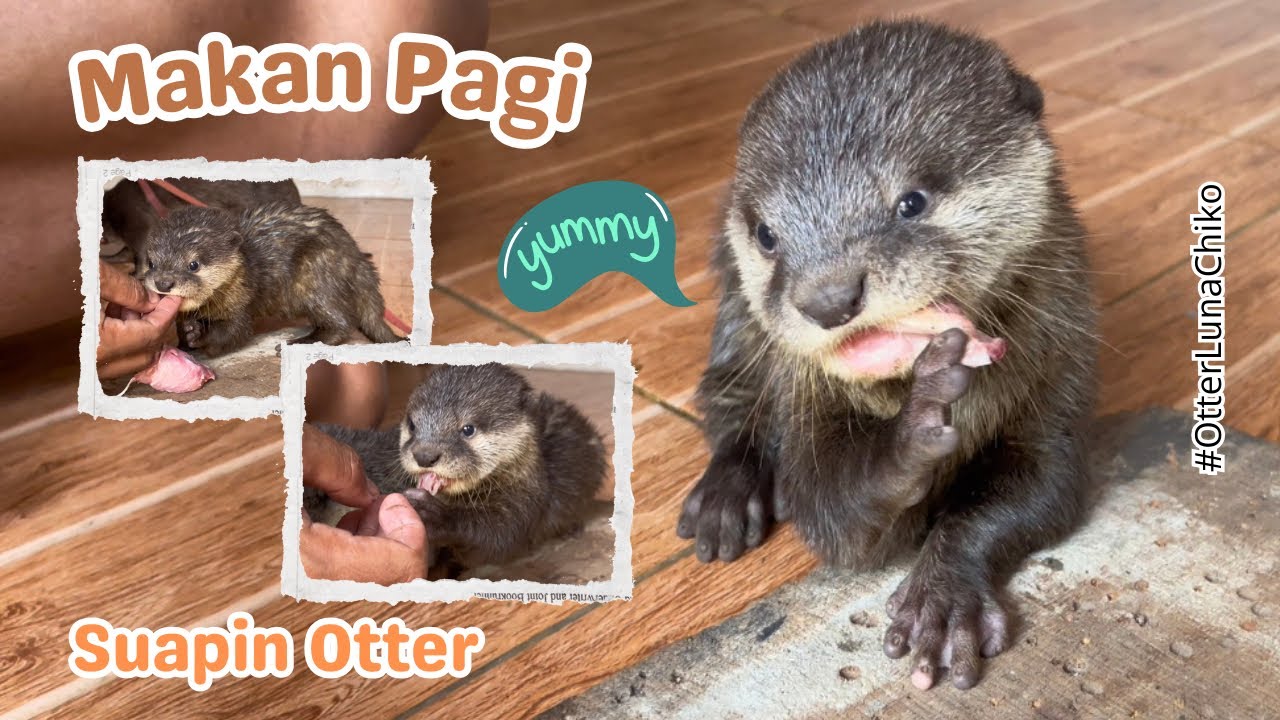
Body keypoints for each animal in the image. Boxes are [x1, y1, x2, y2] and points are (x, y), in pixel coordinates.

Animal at [139, 202, 400, 356]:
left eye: (193, 264)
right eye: (151, 262)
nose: (163, 283)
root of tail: (355, 256)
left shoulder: (242, 302)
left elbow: (234, 333)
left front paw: (200, 335)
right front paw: (187, 334)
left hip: (315, 275)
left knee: (342, 323)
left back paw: (298, 344)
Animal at [314, 363, 608, 571]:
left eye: (468, 429)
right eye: (412, 424)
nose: (425, 455)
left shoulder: (524, 501)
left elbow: (497, 538)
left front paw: (435, 515)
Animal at [676, 20, 1097, 691]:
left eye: (912, 202)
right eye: (767, 235)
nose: (828, 299)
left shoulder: (1059, 360)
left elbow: (1045, 485)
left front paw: (944, 598)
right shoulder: (805, 400)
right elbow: (829, 510)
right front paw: (917, 422)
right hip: (735, 323)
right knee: (729, 399)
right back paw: (724, 497)